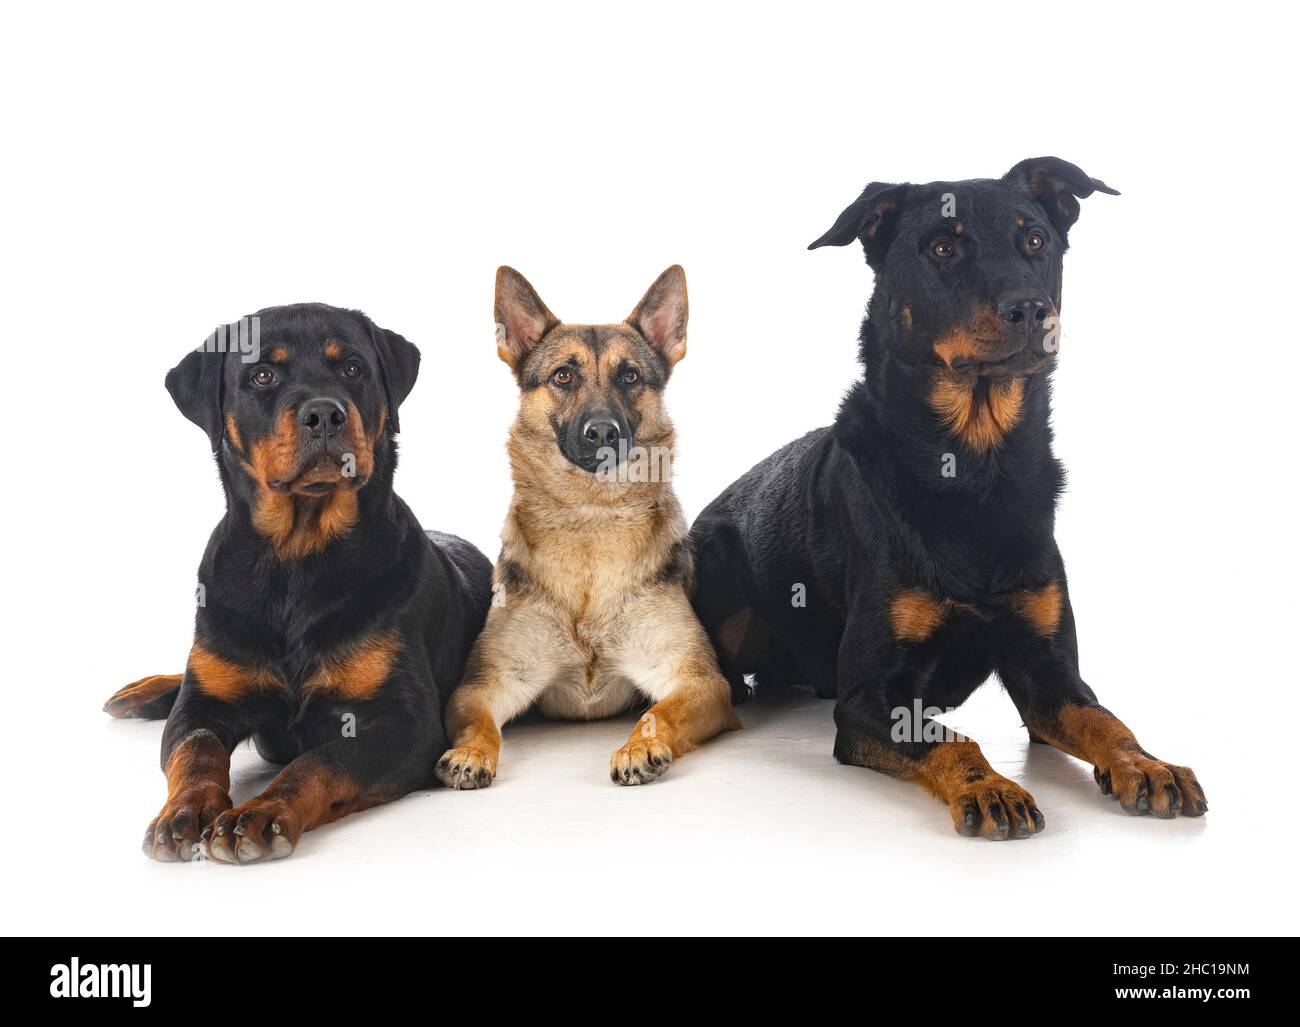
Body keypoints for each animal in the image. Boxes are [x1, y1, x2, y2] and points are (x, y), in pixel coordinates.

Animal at [102, 304, 491, 863]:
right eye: (263, 375)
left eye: (352, 367)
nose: (324, 413)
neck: (296, 560)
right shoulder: (201, 706)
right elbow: (195, 748)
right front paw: (182, 813)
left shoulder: (405, 723)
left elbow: (321, 762)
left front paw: (260, 812)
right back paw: (142, 691)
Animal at [436, 265, 743, 790]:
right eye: (563, 375)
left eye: (630, 376)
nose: (602, 432)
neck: (591, 521)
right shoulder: (484, 684)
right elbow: (479, 723)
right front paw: (471, 753)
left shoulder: (697, 680)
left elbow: (658, 712)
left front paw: (639, 747)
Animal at [691, 158, 1206, 837]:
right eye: (942, 247)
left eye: (1035, 240)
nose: (1031, 308)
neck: (973, 471)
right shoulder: (869, 697)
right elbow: (952, 739)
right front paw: (990, 788)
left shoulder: (1048, 672)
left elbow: (1103, 717)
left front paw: (1146, 764)